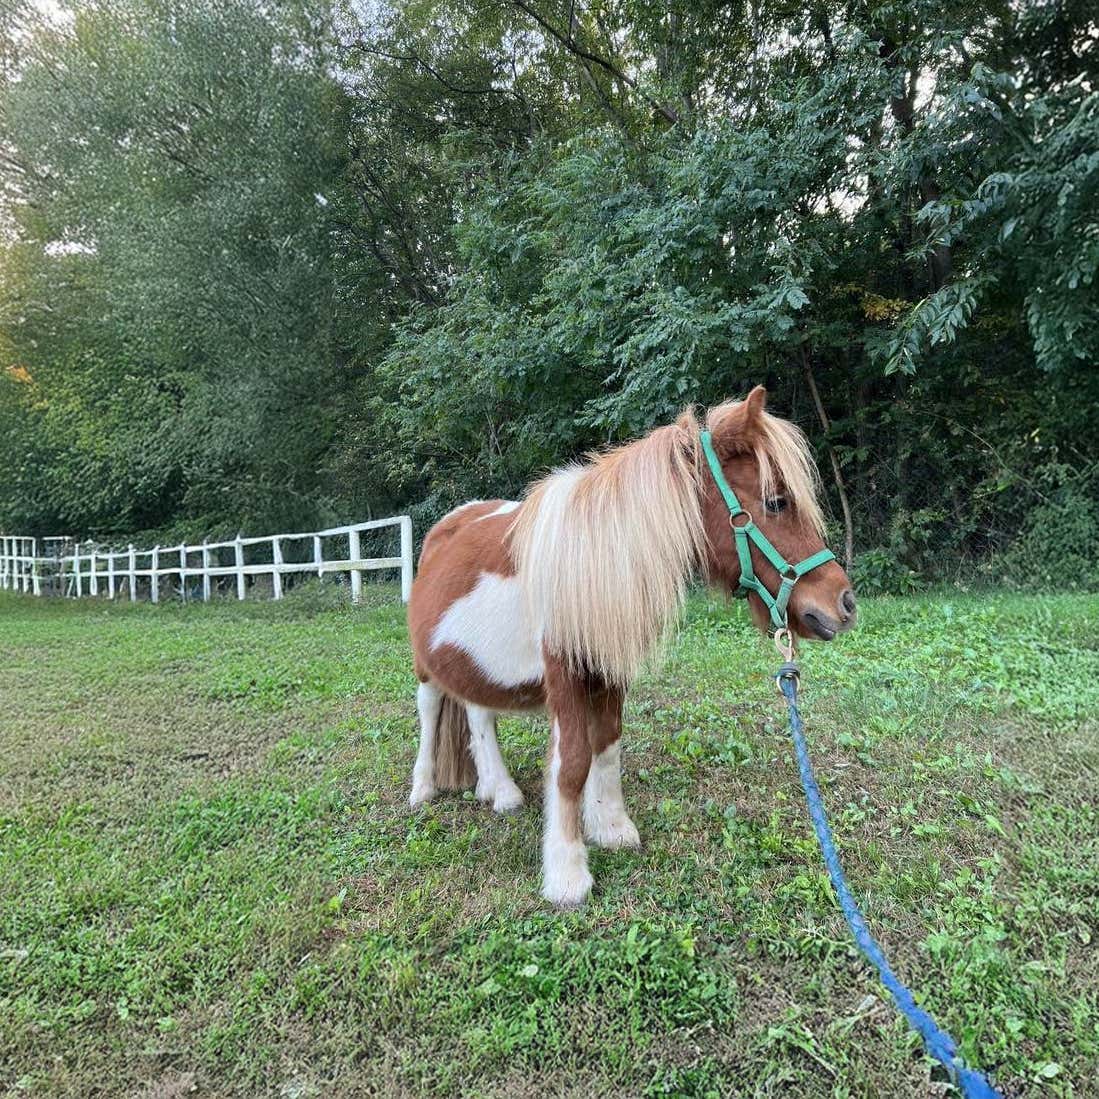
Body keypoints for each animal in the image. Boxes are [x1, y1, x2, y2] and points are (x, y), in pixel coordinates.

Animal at [406, 386, 857, 906]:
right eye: (775, 502)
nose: (843, 603)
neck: (590, 561)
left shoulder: (607, 668)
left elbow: (607, 744)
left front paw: (610, 826)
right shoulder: (564, 673)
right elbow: (572, 761)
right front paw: (567, 873)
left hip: (475, 660)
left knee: (479, 713)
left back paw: (499, 792)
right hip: (425, 666)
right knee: (430, 709)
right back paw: (423, 790)